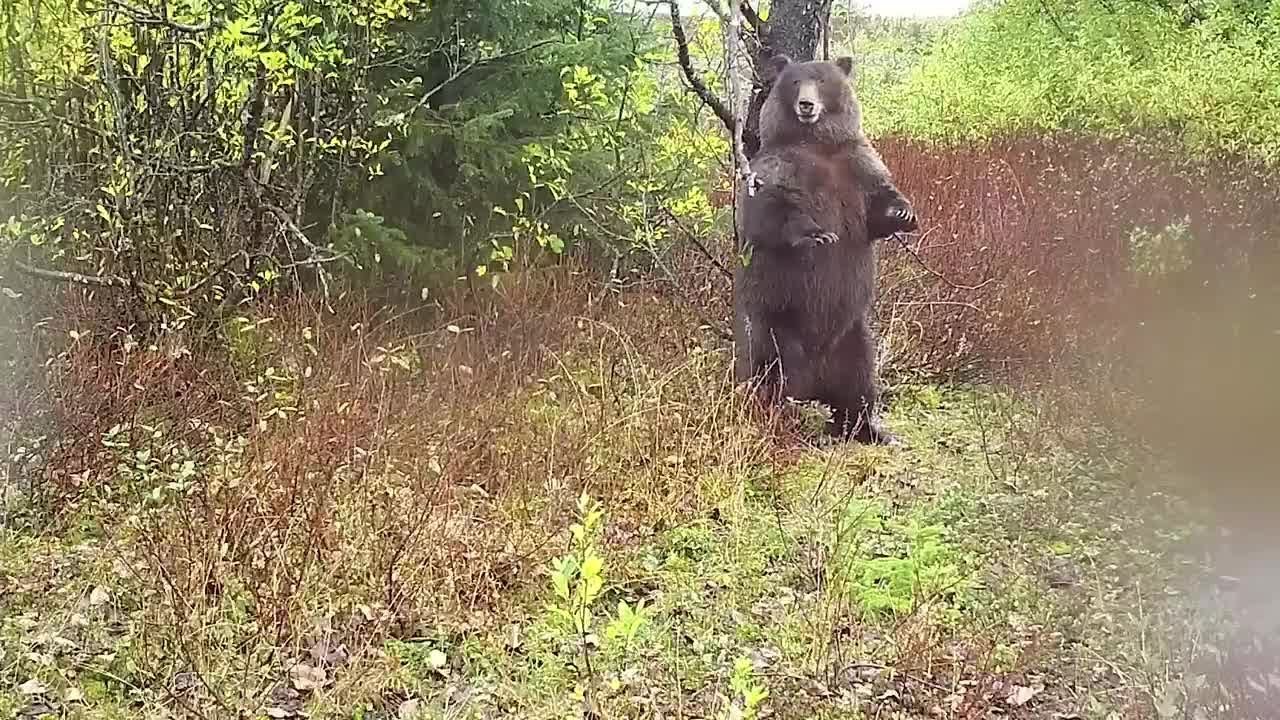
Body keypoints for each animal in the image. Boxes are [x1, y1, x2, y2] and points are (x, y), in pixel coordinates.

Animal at [733, 55, 907, 444]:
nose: (806, 105)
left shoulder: (858, 165)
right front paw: (818, 235)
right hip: (778, 322)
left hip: (852, 334)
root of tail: (815, 383)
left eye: (823, 80)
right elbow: (769, 211)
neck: (818, 146)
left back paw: (869, 429)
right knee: (771, 370)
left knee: (860, 384)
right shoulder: (778, 168)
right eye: (795, 81)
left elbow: (877, 206)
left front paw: (902, 212)